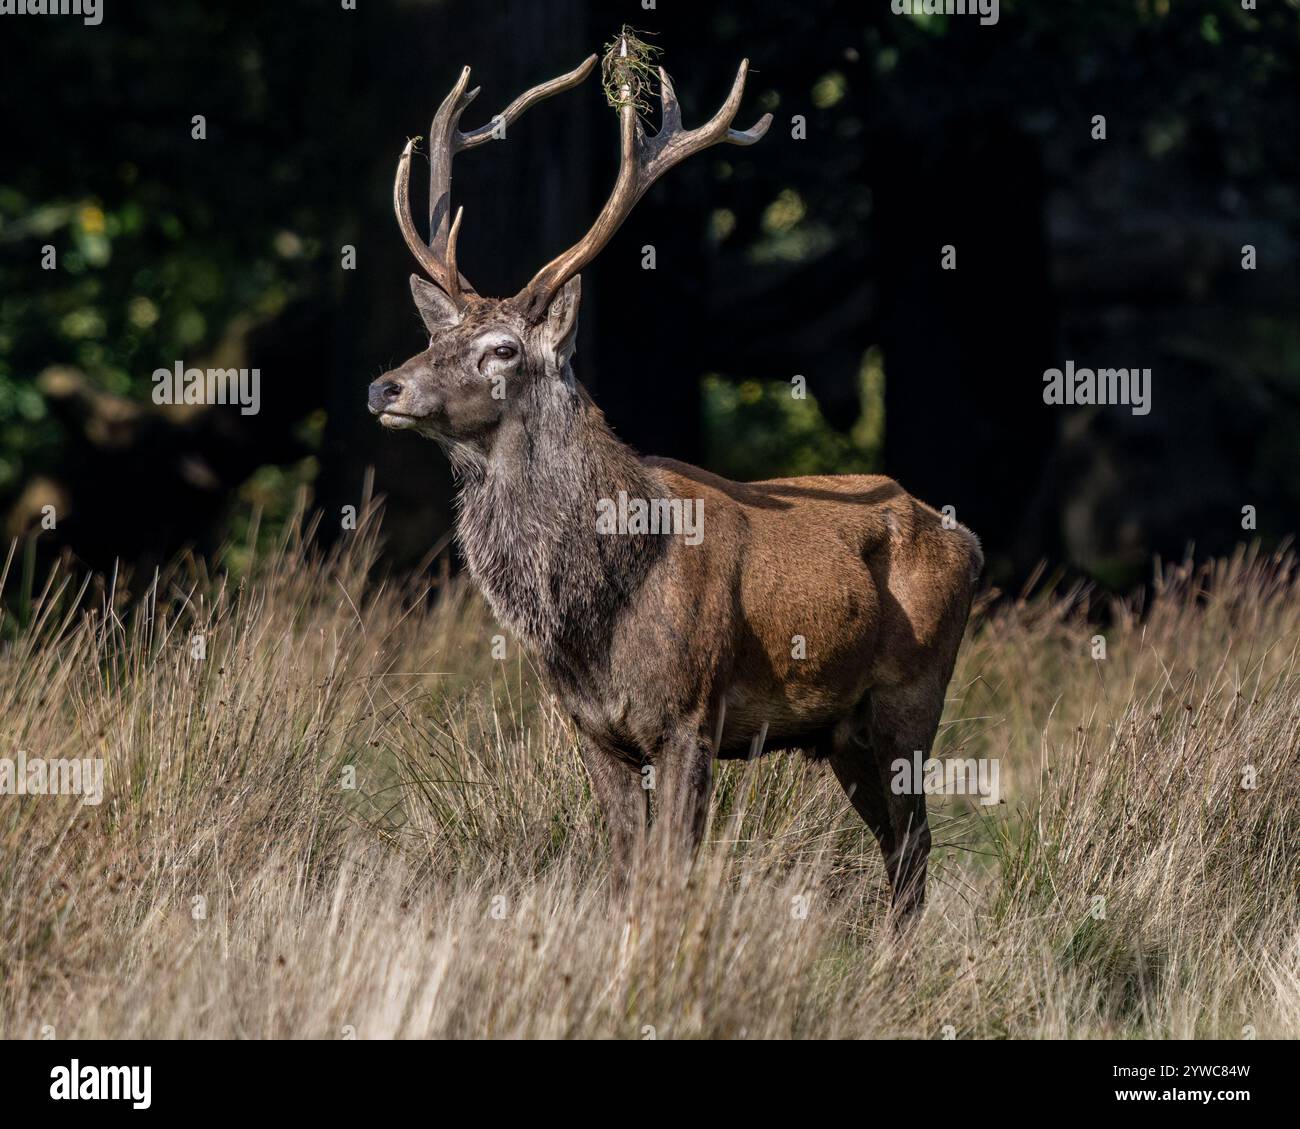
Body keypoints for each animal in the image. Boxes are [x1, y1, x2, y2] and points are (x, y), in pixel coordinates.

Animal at [368, 38, 983, 922]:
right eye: (436, 335)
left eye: (502, 350)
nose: (384, 387)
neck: (599, 607)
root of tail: (967, 539)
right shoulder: (594, 730)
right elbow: (625, 873)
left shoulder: (692, 714)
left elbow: (673, 874)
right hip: (844, 732)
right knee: (899, 848)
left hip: (913, 693)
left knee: (917, 846)